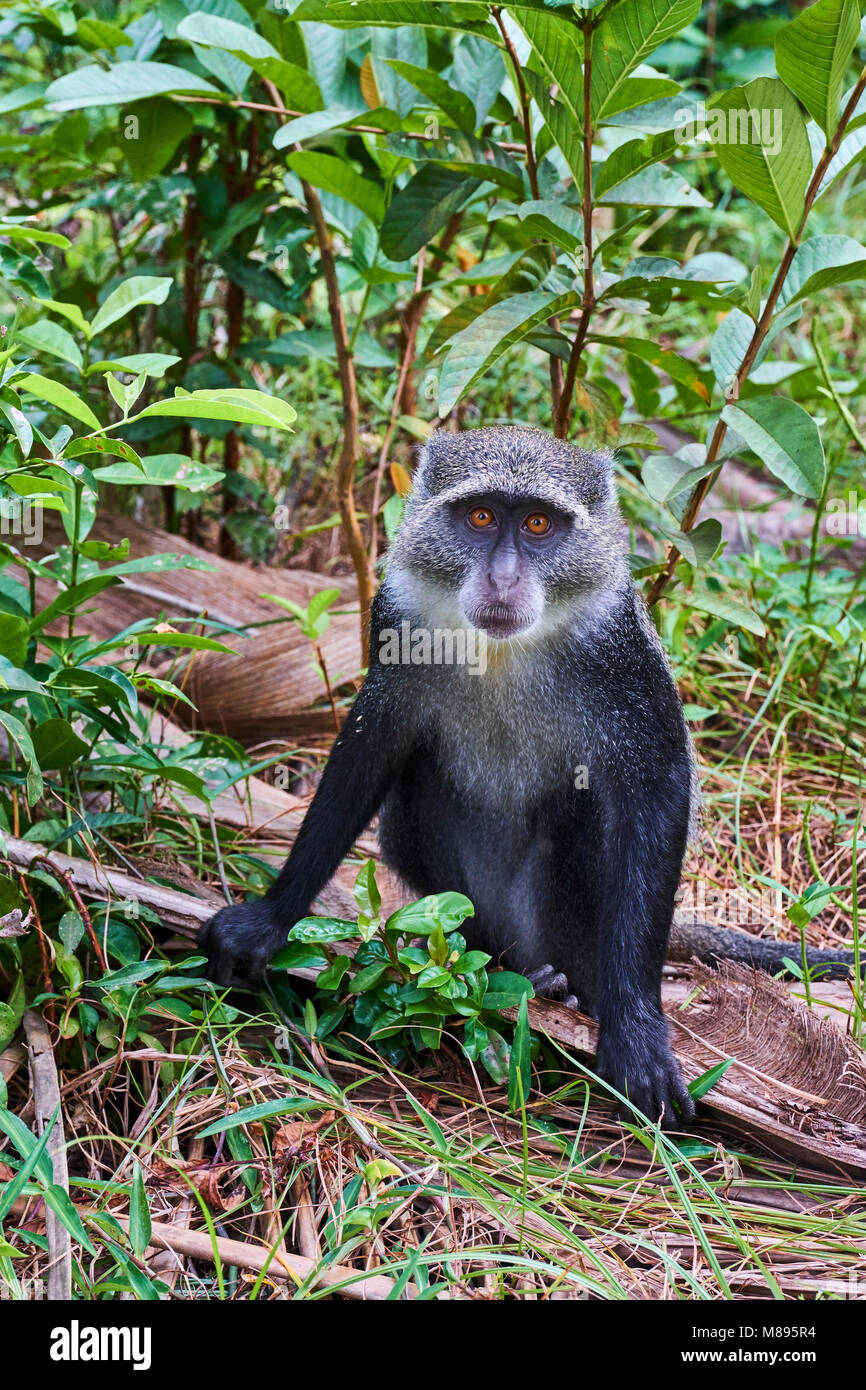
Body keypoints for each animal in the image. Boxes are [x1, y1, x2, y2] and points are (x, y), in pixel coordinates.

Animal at [202, 425, 863, 1126]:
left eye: (539, 524)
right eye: (481, 517)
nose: (503, 577)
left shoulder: (620, 647)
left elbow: (655, 789)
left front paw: (634, 1023)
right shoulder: (399, 616)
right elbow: (372, 748)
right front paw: (271, 918)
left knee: (585, 808)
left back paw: (569, 989)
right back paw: (505, 968)